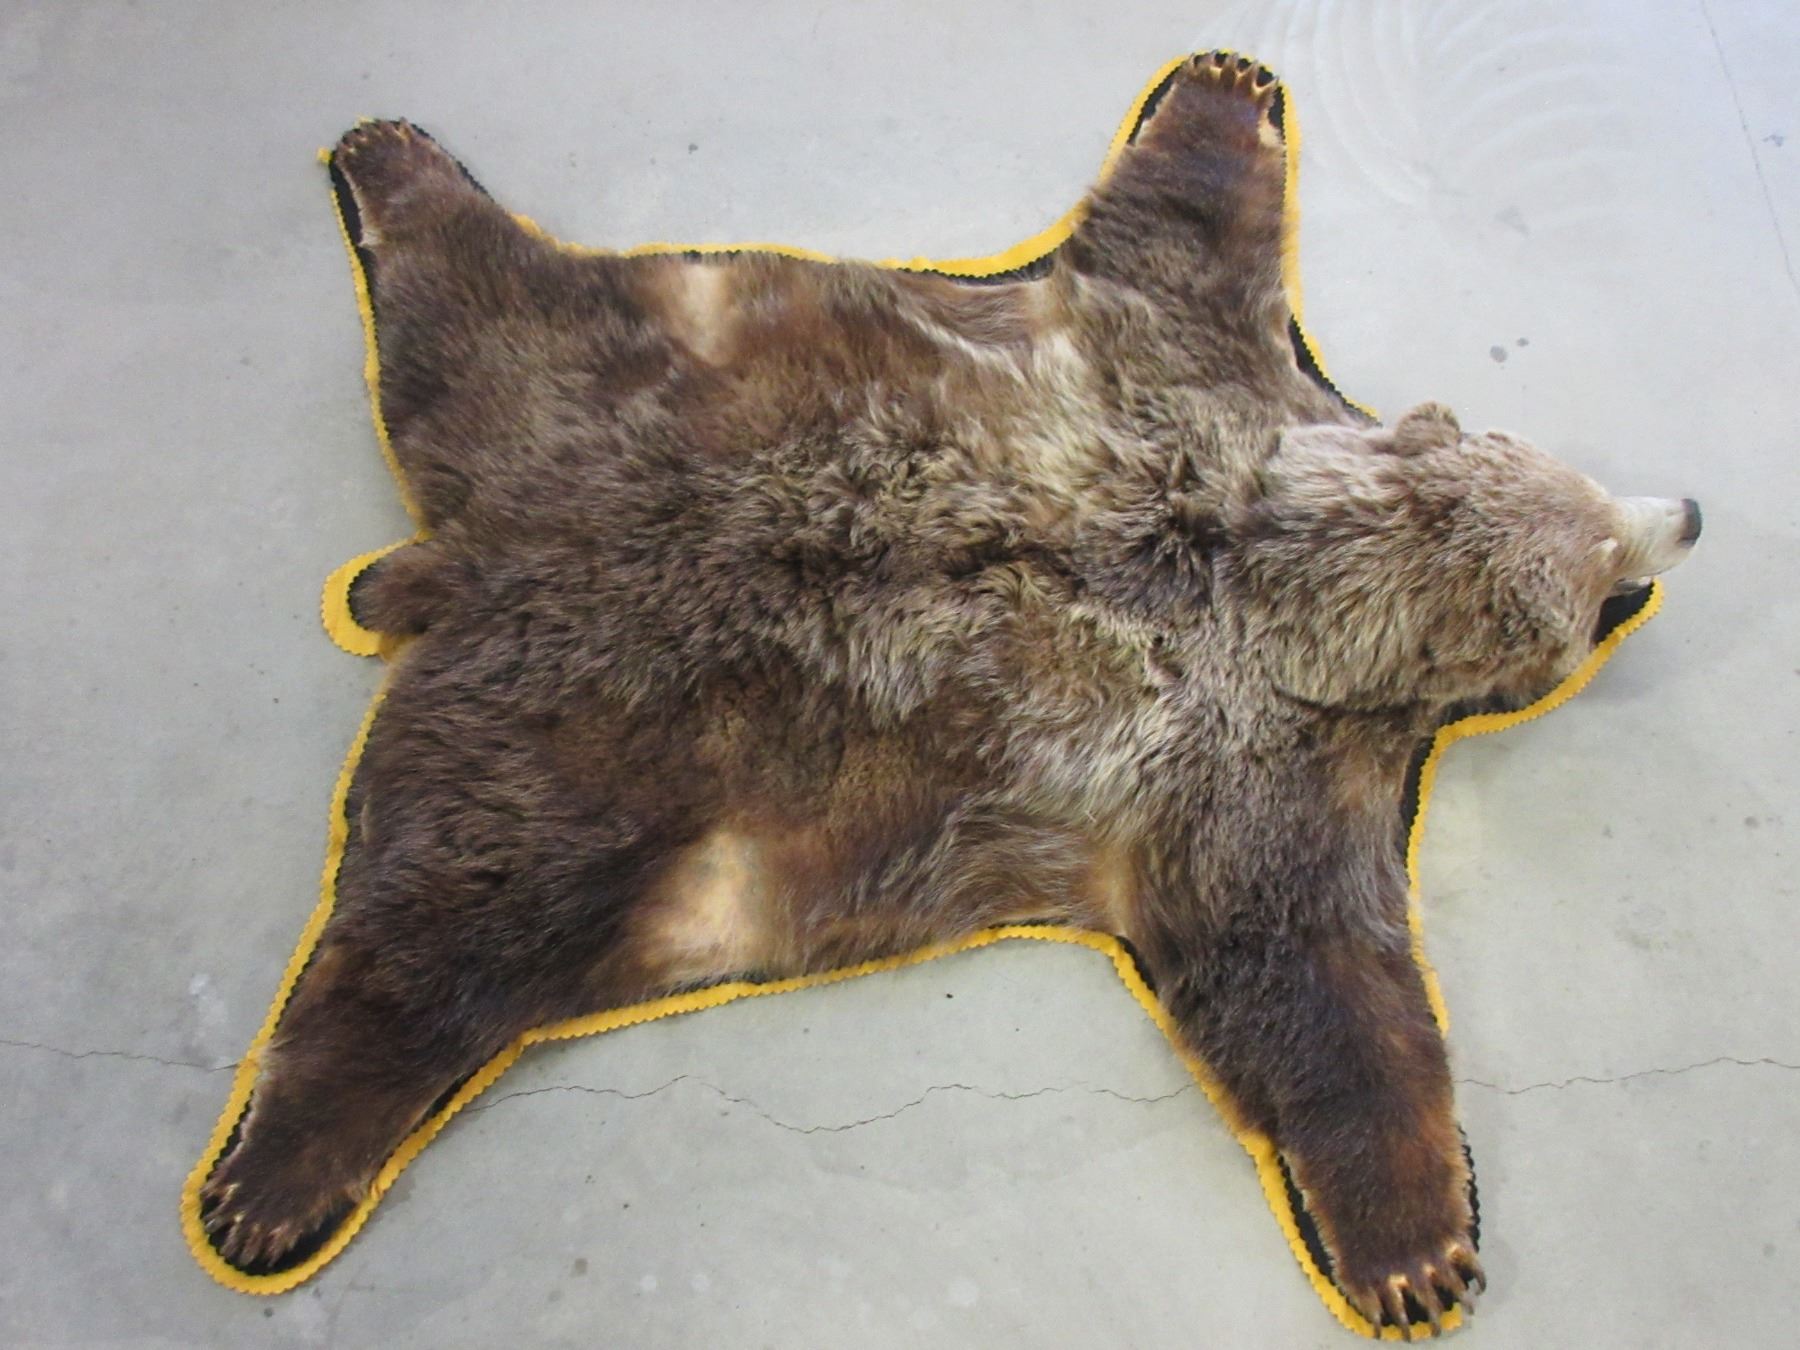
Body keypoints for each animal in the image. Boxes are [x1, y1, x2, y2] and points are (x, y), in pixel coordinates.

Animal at [197, 53, 1701, 1334]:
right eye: (1603, 580)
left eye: (1589, 501)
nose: (1684, 511)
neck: (1253, 552)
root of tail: (450, 561)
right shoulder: (1245, 753)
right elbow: (1312, 980)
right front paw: (1415, 1245)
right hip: (580, 763)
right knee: (434, 947)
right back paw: (271, 1178)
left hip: (589, 424)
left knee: (485, 315)